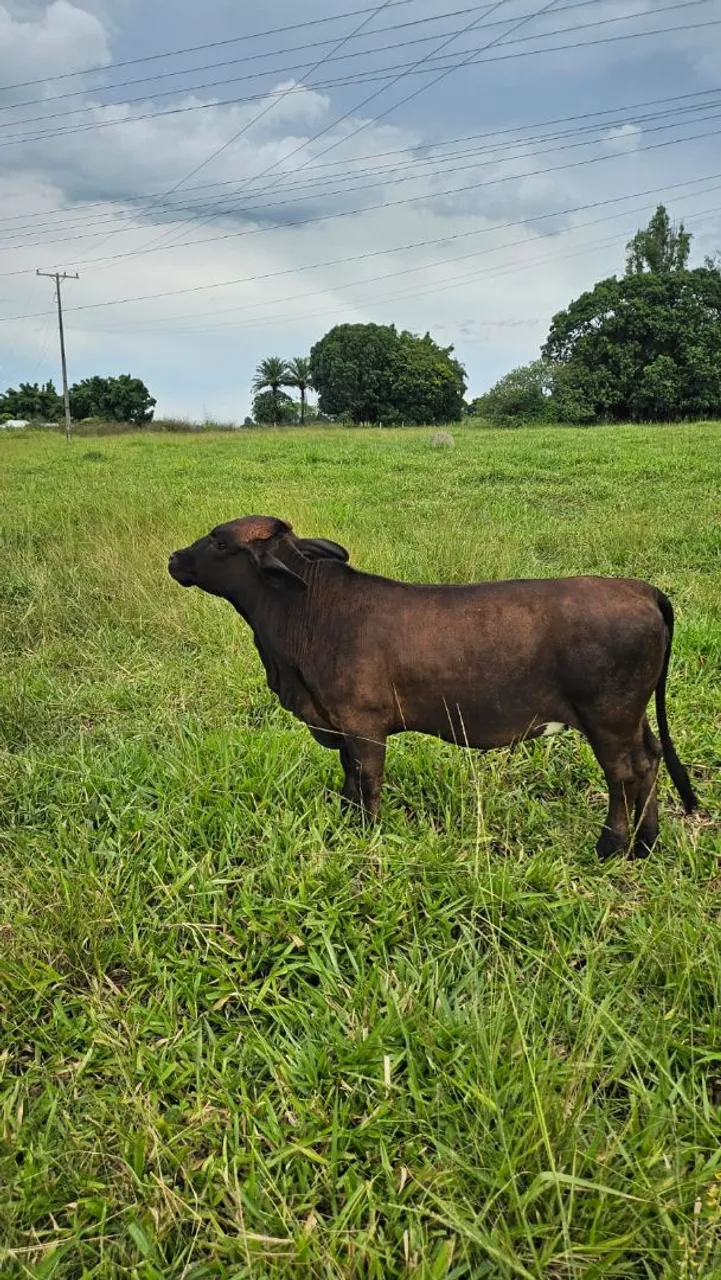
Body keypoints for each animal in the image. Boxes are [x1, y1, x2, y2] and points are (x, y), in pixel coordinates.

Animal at [168, 515, 698, 858]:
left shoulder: (361, 724)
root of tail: (641, 589)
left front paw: (367, 833)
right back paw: (646, 843)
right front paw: (346, 820)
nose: (174, 557)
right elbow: (347, 779)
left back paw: (612, 845)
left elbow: (367, 780)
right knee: (650, 758)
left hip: (607, 715)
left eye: (218, 542)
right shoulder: (339, 724)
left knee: (623, 772)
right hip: (631, 714)